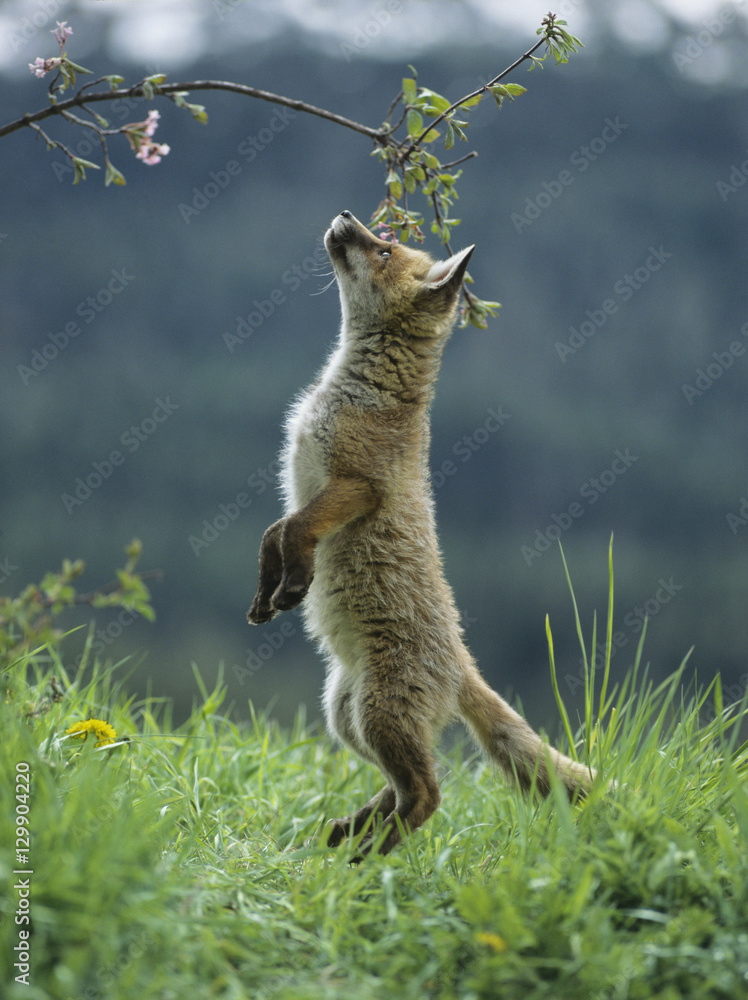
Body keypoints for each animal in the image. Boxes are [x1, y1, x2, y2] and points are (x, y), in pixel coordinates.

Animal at [247, 210, 593, 857]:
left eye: (384, 251)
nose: (345, 215)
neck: (358, 390)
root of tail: (461, 662)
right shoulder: (305, 488)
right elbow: (272, 534)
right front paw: (264, 595)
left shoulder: (356, 487)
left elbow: (297, 531)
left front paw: (294, 586)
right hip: (348, 719)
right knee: (407, 785)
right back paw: (355, 831)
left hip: (379, 716)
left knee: (431, 794)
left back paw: (369, 854)